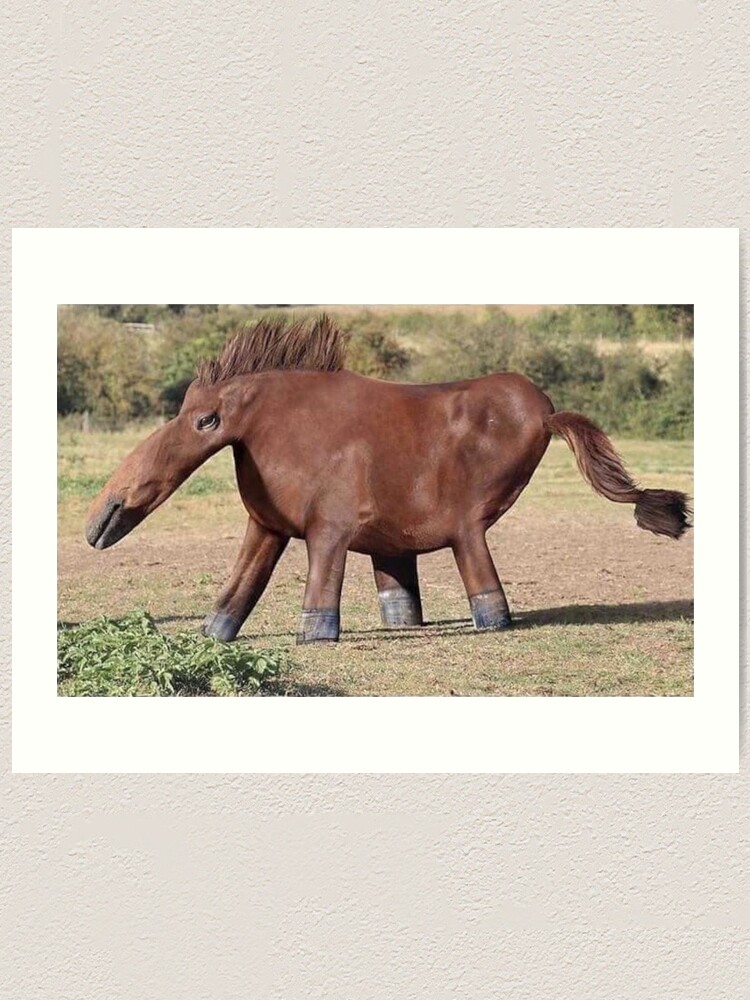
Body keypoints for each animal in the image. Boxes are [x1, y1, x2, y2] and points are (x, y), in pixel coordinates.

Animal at [85, 314, 691, 644]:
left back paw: (491, 623)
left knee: (482, 576)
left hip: (466, 524)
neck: (279, 426)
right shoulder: (268, 526)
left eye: (206, 421)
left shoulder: (329, 528)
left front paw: (313, 636)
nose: (100, 521)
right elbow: (236, 588)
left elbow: (319, 590)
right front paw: (210, 636)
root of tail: (546, 412)